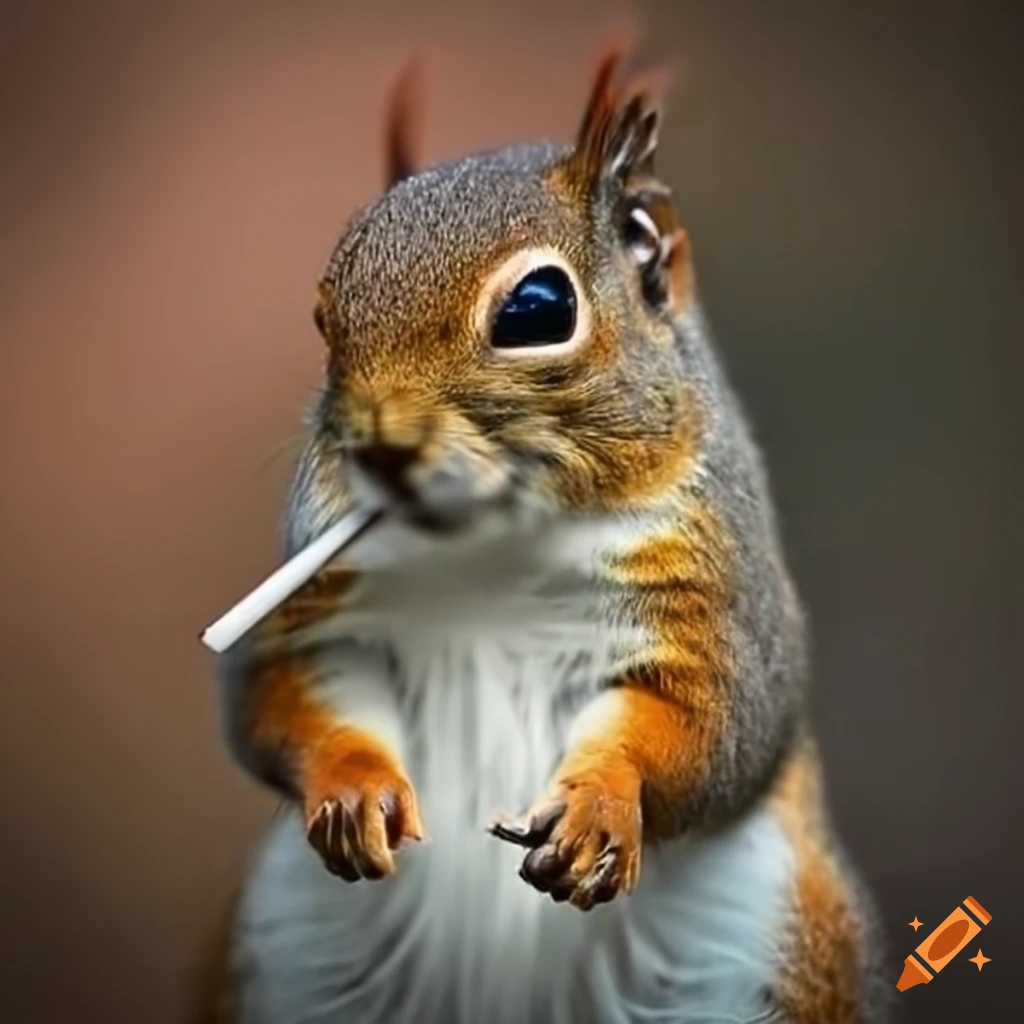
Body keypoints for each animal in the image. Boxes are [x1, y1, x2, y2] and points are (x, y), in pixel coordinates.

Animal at [208, 45, 891, 1024]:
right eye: (323, 317)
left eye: (537, 308)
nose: (378, 447)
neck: (488, 550)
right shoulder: (316, 613)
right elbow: (282, 704)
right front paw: (350, 790)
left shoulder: (719, 613)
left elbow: (718, 725)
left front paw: (601, 805)